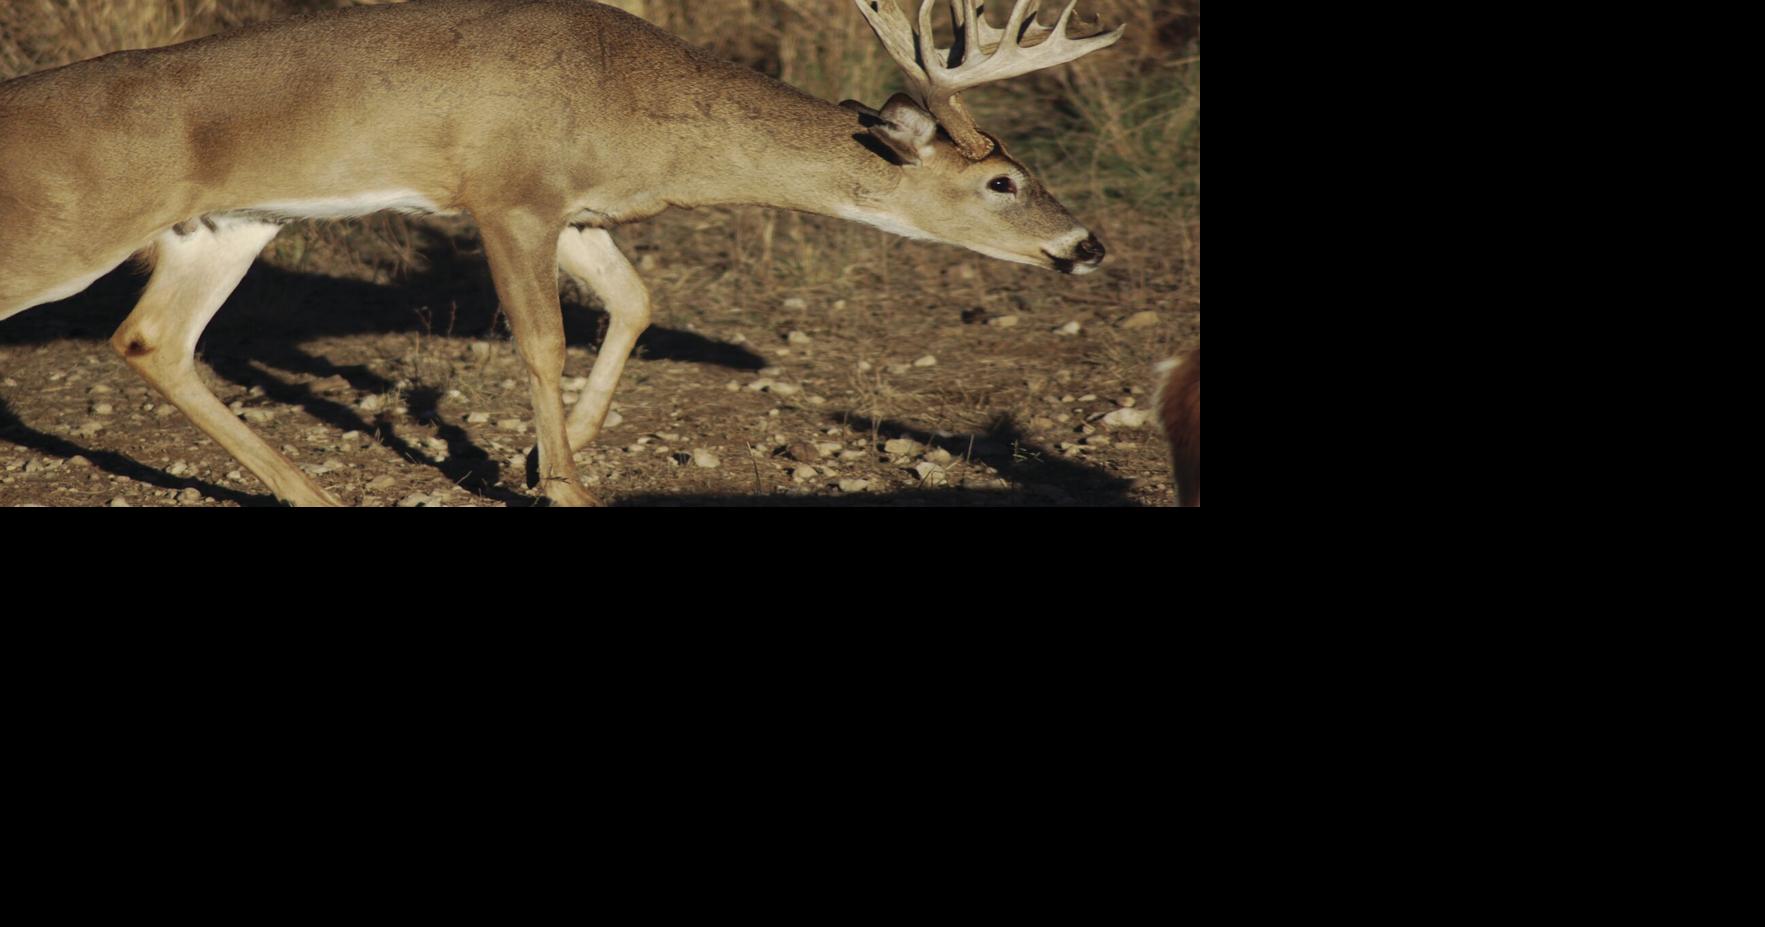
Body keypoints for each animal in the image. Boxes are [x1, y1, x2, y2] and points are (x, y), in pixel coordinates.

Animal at [0, 0, 1122, 506]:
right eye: (1002, 181)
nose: (1086, 243)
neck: (632, 106)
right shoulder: (508, 196)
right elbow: (540, 339)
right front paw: (568, 483)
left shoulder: (582, 214)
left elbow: (635, 302)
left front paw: (549, 454)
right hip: (67, 233)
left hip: (229, 226)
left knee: (151, 339)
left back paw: (313, 492)